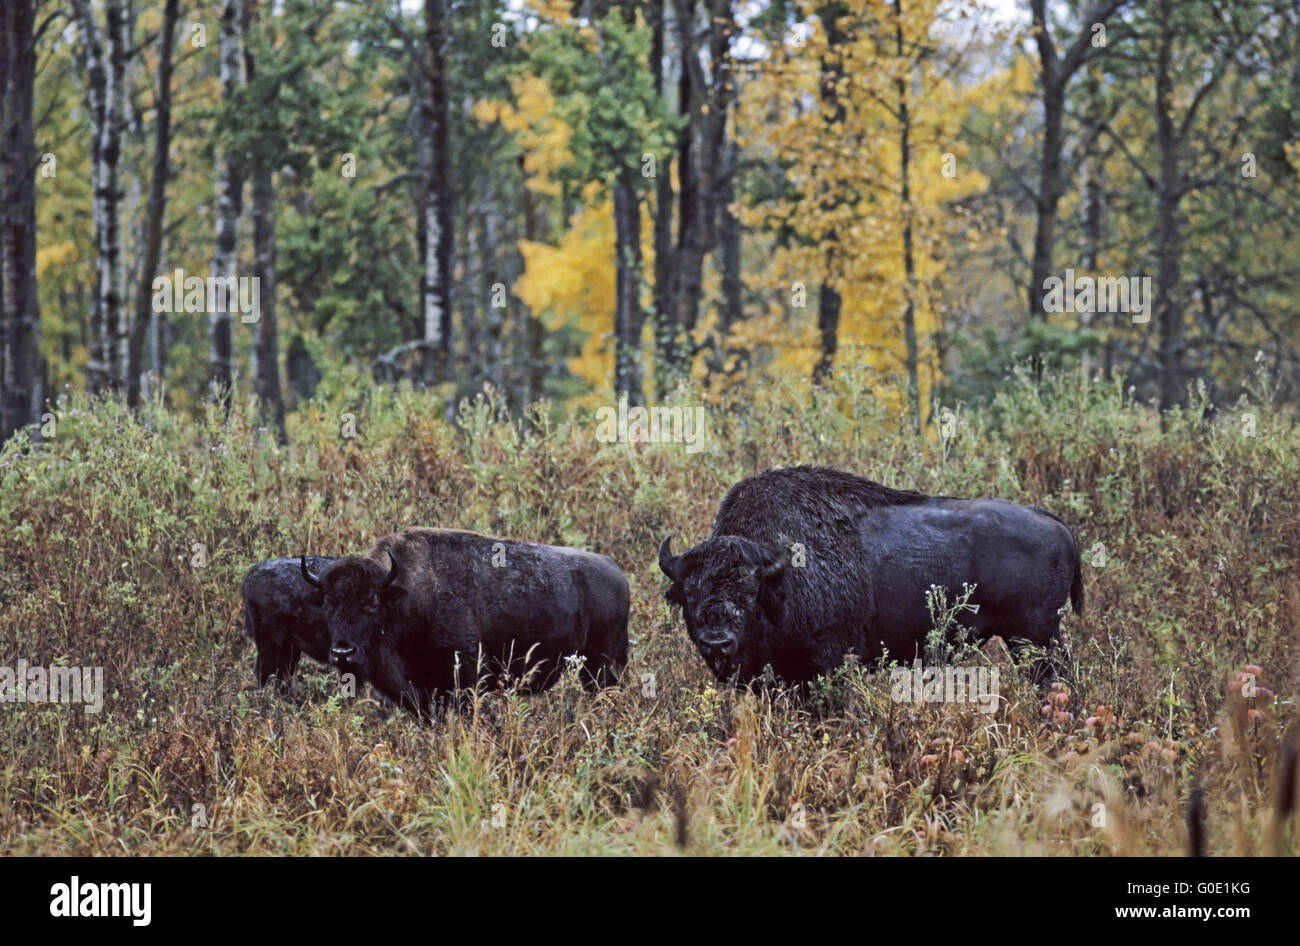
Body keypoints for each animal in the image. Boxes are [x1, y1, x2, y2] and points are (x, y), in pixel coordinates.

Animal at [299, 528, 630, 715]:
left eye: (372, 602)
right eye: (328, 603)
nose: (343, 652)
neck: (405, 596)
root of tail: (615, 570)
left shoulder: (466, 679)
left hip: (597, 666)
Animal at [658, 465, 1083, 685]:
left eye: (748, 591)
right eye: (689, 593)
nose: (716, 642)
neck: (778, 578)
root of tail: (1051, 520)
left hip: (1034, 637)